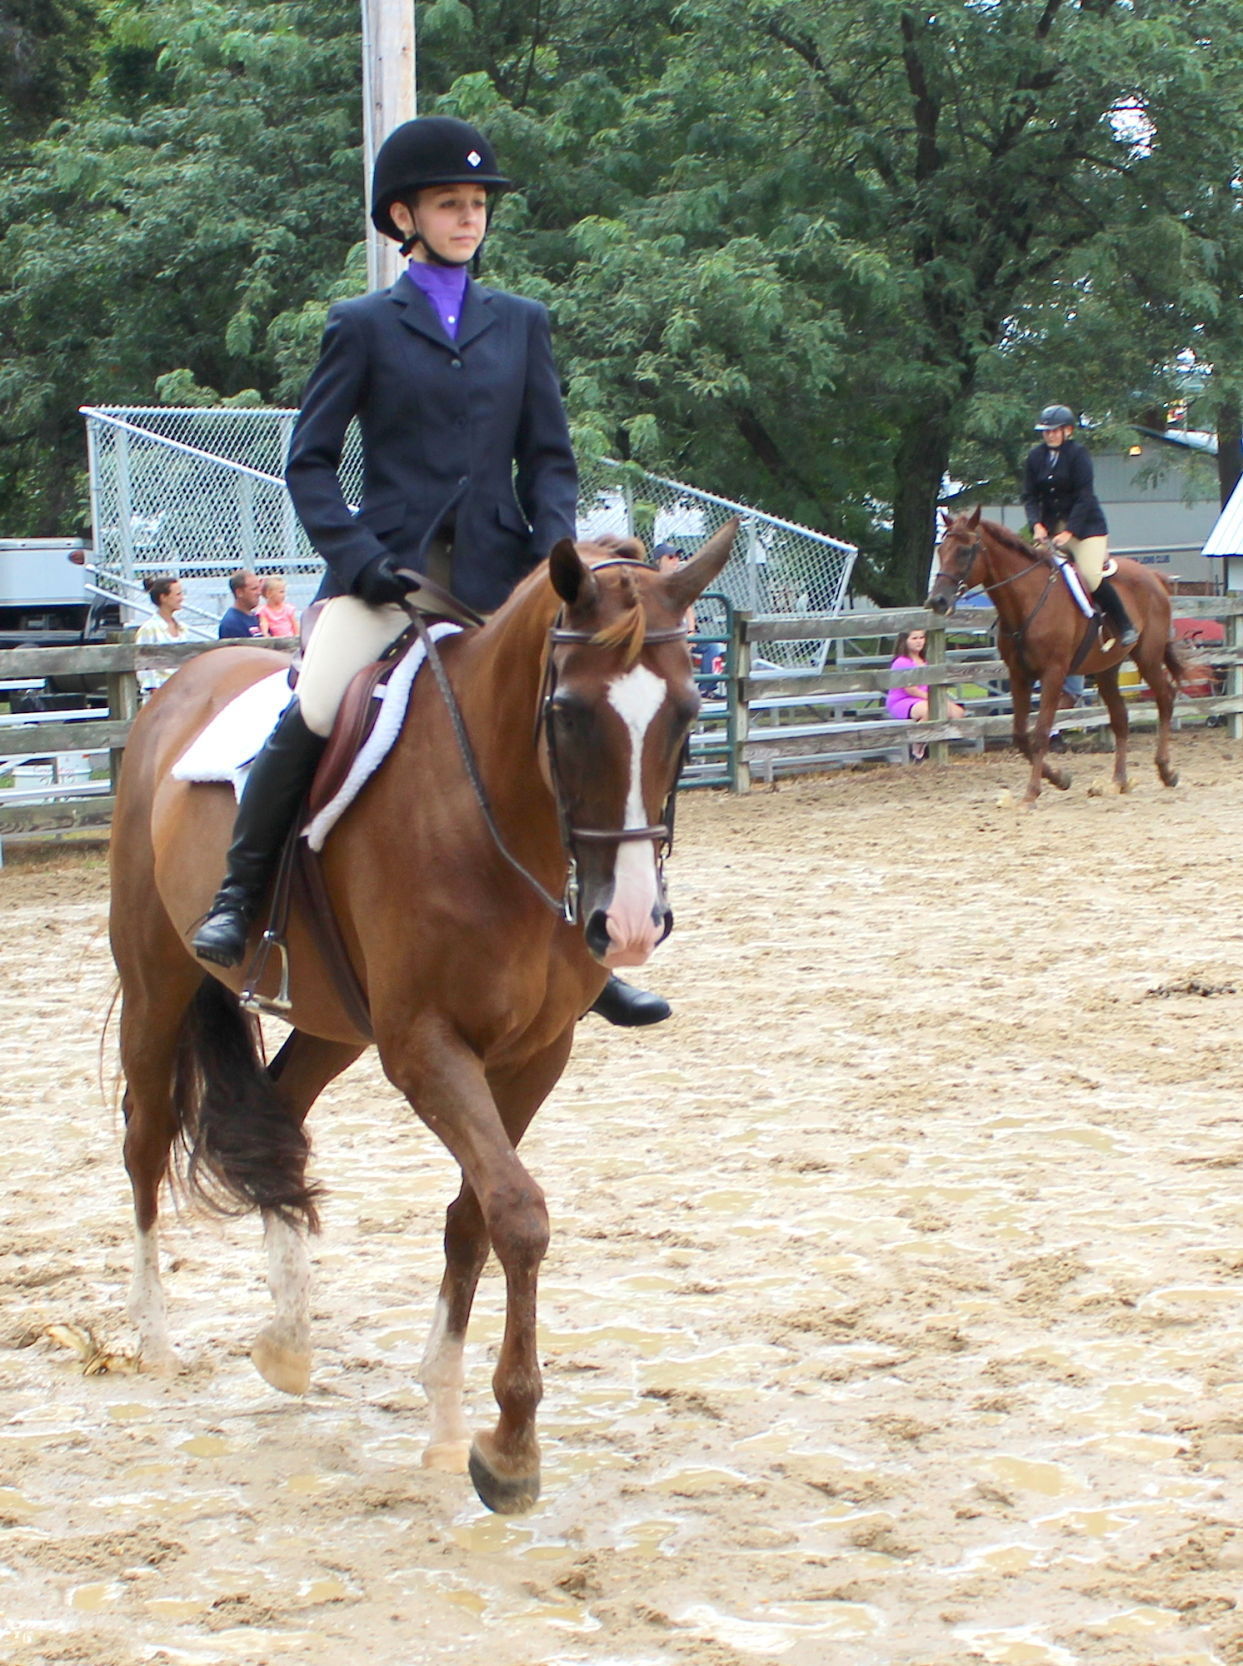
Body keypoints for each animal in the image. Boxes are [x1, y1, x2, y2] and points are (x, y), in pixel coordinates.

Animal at [108, 521, 737, 1514]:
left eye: (684, 712)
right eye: (567, 712)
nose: (631, 924)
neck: (500, 824)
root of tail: (181, 683)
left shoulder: (533, 1053)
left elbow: (475, 1215)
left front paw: (446, 1418)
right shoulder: (426, 1048)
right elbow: (517, 1211)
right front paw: (509, 1448)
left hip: (334, 1018)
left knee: (279, 1119)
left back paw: (287, 1342)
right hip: (155, 978)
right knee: (145, 1135)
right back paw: (154, 1338)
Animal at [926, 508, 1202, 804]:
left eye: (965, 551)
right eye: (941, 549)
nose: (937, 601)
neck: (1027, 601)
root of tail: (1154, 576)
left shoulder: (1053, 674)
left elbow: (1040, 732)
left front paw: (1032, 791)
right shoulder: (1019, 675)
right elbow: (1020, 735)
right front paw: (1060, 778)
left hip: (1147, 657)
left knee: (1165, 698)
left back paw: (1166, 770)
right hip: (1107, 669)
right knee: (1120, 718)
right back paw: (1119, 780)